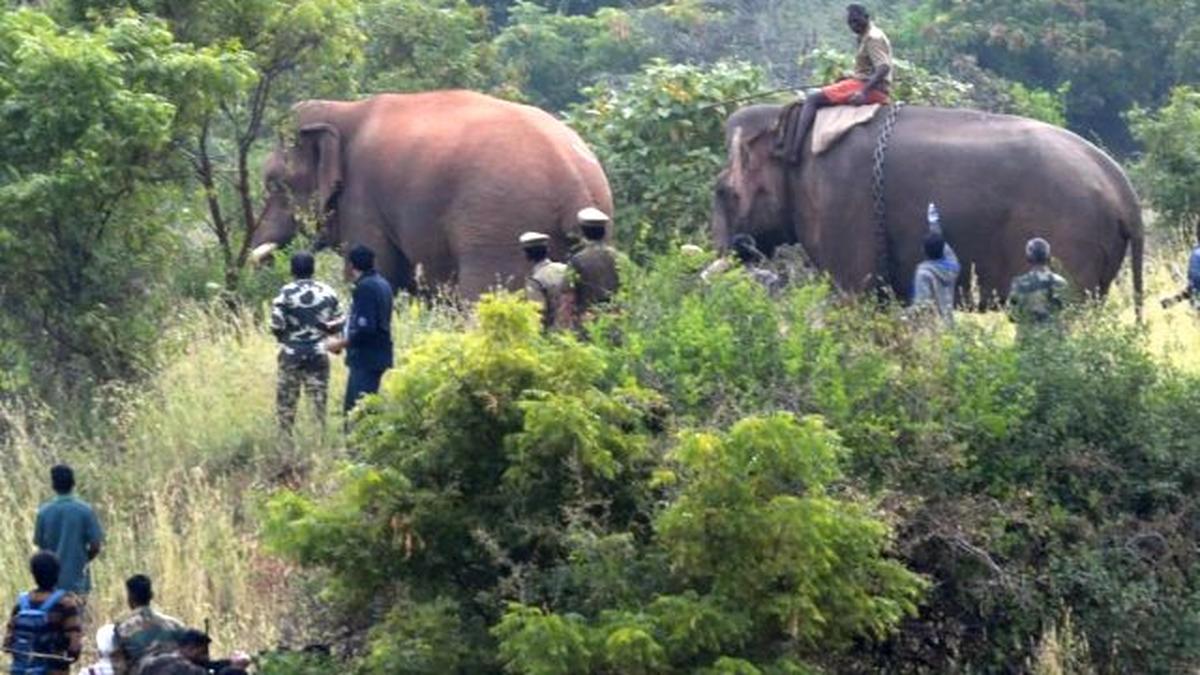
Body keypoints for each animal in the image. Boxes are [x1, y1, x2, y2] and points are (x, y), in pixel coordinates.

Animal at [250, 90, 614, 298]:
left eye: (274, 183)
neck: (343, 109)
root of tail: (574, 177)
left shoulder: (362, 199)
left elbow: (377, 270)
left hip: (502, 230)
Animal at [711, 104, 1145, 311]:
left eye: (720, 191)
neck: (795, 120)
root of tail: (1124, 191)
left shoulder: (841, 205)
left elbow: (854, 296)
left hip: (1074, 242)